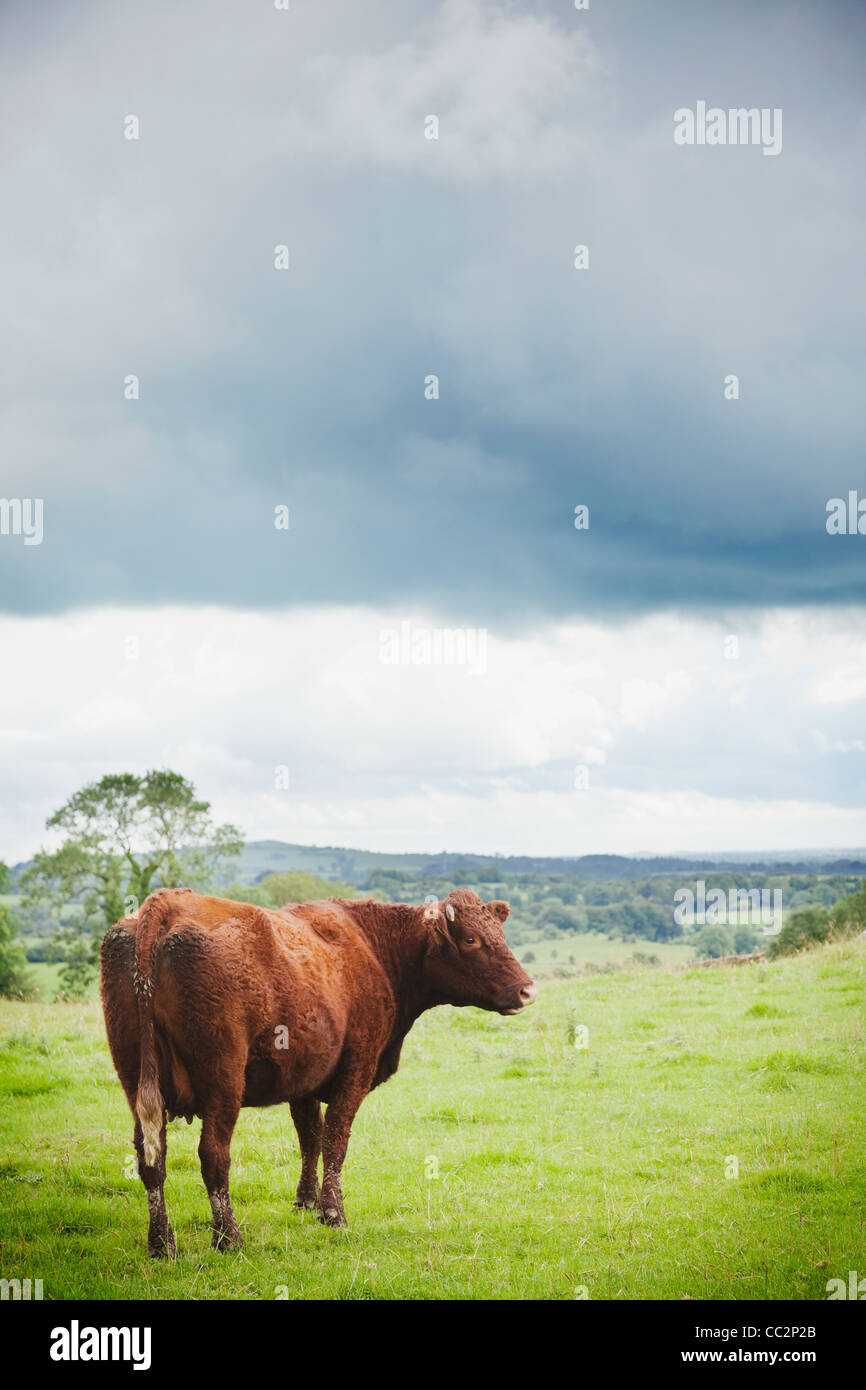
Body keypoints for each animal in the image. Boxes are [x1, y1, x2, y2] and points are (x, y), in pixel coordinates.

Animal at [100, 887, 536, 1257]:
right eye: (471, 940)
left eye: (498, 932)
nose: (527, 990)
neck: (374, 951)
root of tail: (166, 902)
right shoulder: (355, 1070)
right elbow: (335, 1141)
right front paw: (332, 1213)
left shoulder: (303, 1078)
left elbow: (309, 1138)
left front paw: (305, 1201)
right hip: (223, 1078)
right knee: (213, 1155)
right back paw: (228, 1239)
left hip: (134, 1078)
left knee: (150, 1160)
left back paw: (162, 1244)